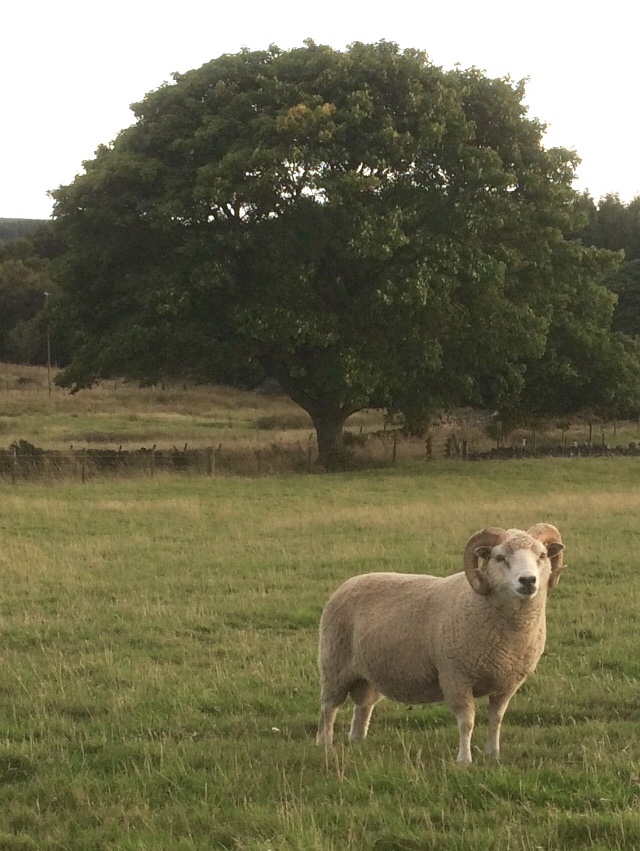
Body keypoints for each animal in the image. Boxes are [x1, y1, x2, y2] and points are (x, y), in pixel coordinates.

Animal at [316, 523, 565, 764]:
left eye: (542, 555)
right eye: (499, 557)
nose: (528, 581)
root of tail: (349, 582)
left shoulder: (506, 684)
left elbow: (496, 720)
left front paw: (493, 755)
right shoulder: (455, 678)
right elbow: (467, 722)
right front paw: (464, 760)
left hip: (367, 675)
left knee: (363, 706)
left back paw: (357, 742)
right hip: (334, 666)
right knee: (328, 708)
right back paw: (325, 745)